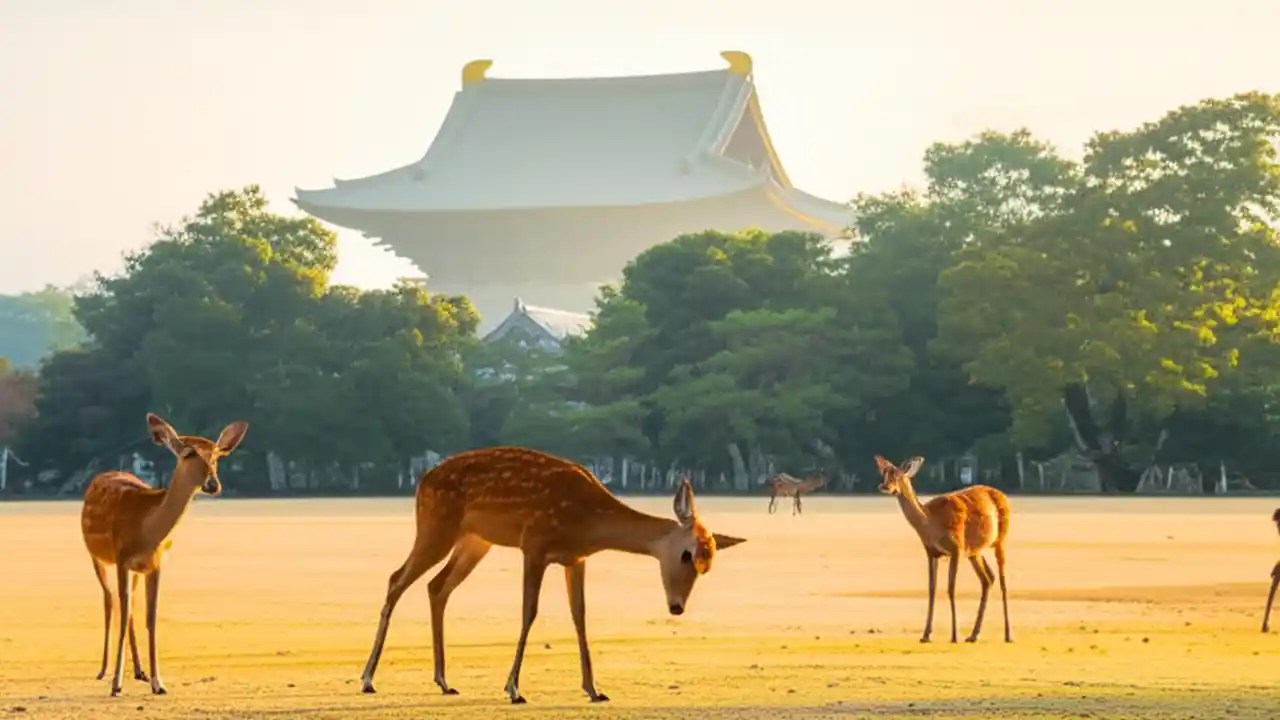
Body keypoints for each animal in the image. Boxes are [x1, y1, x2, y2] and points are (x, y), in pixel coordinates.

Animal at [80, 413, 248, 696]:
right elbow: (124, 612)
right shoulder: (122, 558)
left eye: (216, 455)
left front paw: (158, 682)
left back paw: (139, 671)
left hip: (135, 570)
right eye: (189, 453)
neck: (147, 531)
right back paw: (103, 671)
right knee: (110, 600)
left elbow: (151, 617)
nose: (213, 484)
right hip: (97, 556)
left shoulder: (156, 564)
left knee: (129, 607)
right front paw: (116, 684)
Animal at [360, 446, 746, 704]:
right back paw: (367, 679)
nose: (677, 607)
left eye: (708, 564)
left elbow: (580, 616)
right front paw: (514, 688)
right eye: (687, 555)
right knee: (396, 579)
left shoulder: (575, 558)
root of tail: (421, 482)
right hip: (436, 524)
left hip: (475, 540)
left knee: (437, 586)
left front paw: (594, 689)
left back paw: (443, 680)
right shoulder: (534, 543)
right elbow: (529, 612)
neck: (589, 523)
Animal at [873, 455, 1012, 644]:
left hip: (1000, 539)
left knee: (1003, 582)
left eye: (899, 475)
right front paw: (925, 635)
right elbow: (932, 589)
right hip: (975, 551)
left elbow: (951, 588)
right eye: (885, 474)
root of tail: (1004, 497)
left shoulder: (957, 548)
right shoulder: (932, 553)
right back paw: (973, 635)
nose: (884, 486)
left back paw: (1008, 635)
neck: (930, 524)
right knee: (988, 579)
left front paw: (954, 636)